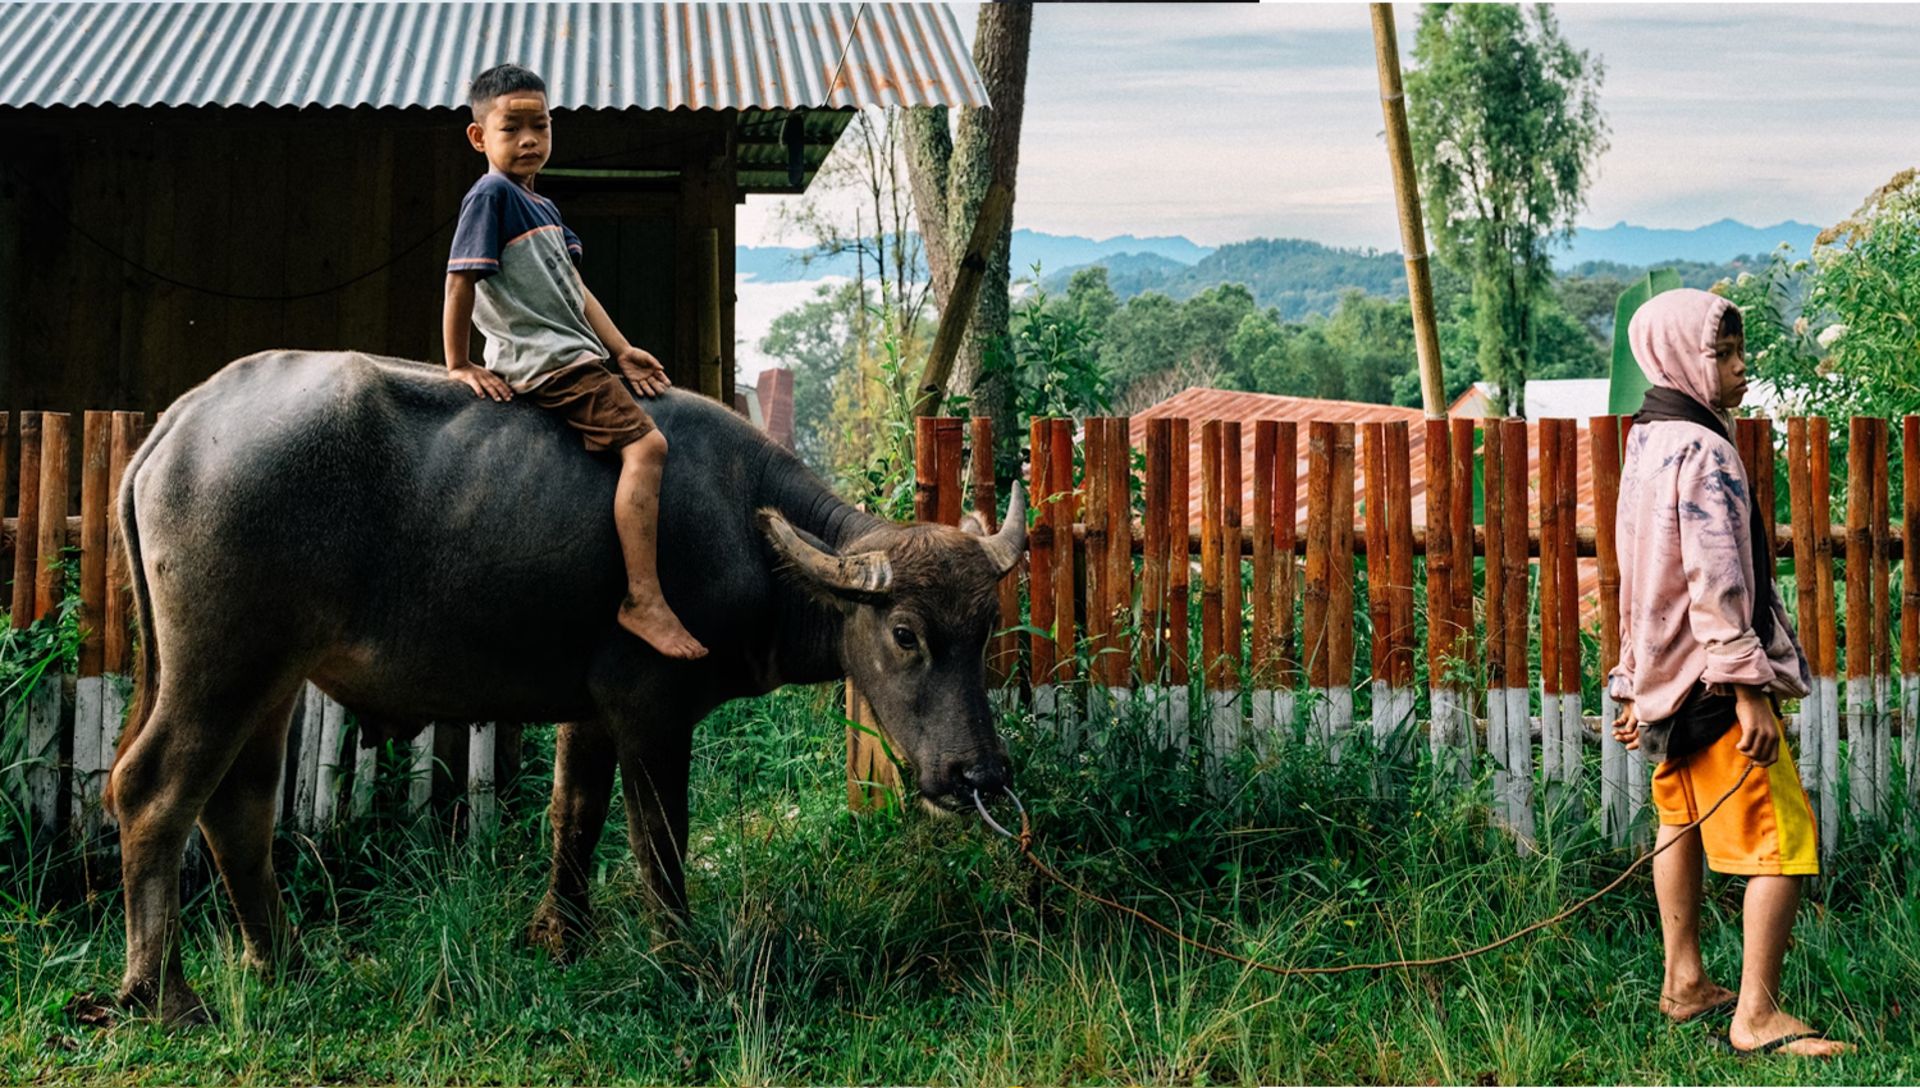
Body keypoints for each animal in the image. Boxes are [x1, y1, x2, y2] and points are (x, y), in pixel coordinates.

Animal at [101, 353, 1021, 1028]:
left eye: (985, 631)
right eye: (905, 635)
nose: (978, 775)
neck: (745, 527)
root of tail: (179, 424)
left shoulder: (593, 708)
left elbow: (573, 814)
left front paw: (558, 935)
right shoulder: (654, 708)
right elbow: (659, 840)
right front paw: (682, 960)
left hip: (273, 677)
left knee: (239, 806)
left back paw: (284, 962)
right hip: (221, 664)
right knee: (153, 792)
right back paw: (164, 995)